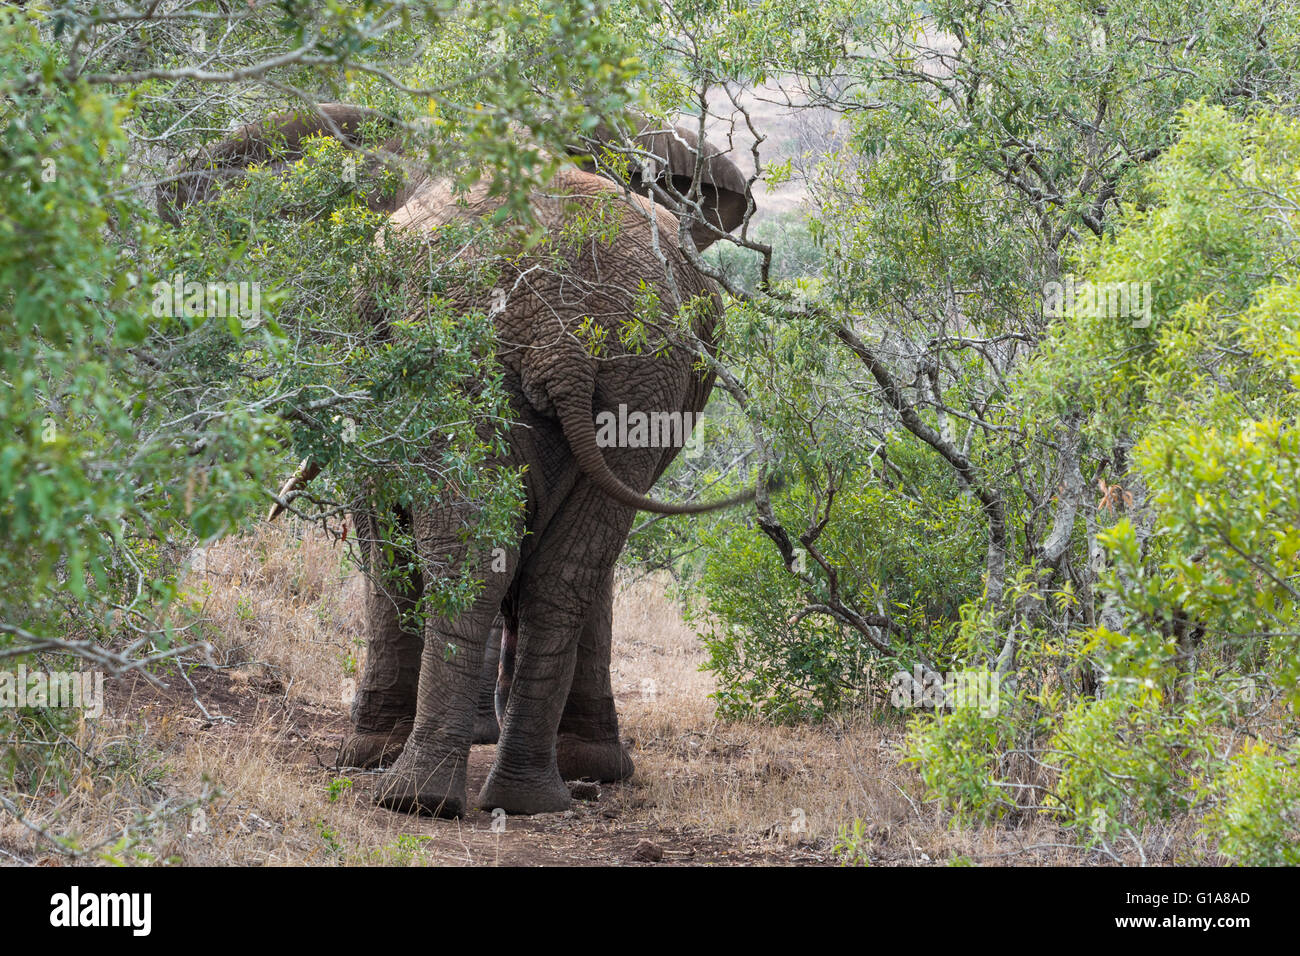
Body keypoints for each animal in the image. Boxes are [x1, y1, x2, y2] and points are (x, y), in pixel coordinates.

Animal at [164, 103, 755, 815]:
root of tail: (562, 334)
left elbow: (382, 526)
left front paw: (363, 752)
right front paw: (593, 768)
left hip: (464, 354)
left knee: (471, 555)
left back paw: (413, 796)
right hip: (646, 371)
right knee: (564, 571)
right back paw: (531, 796)